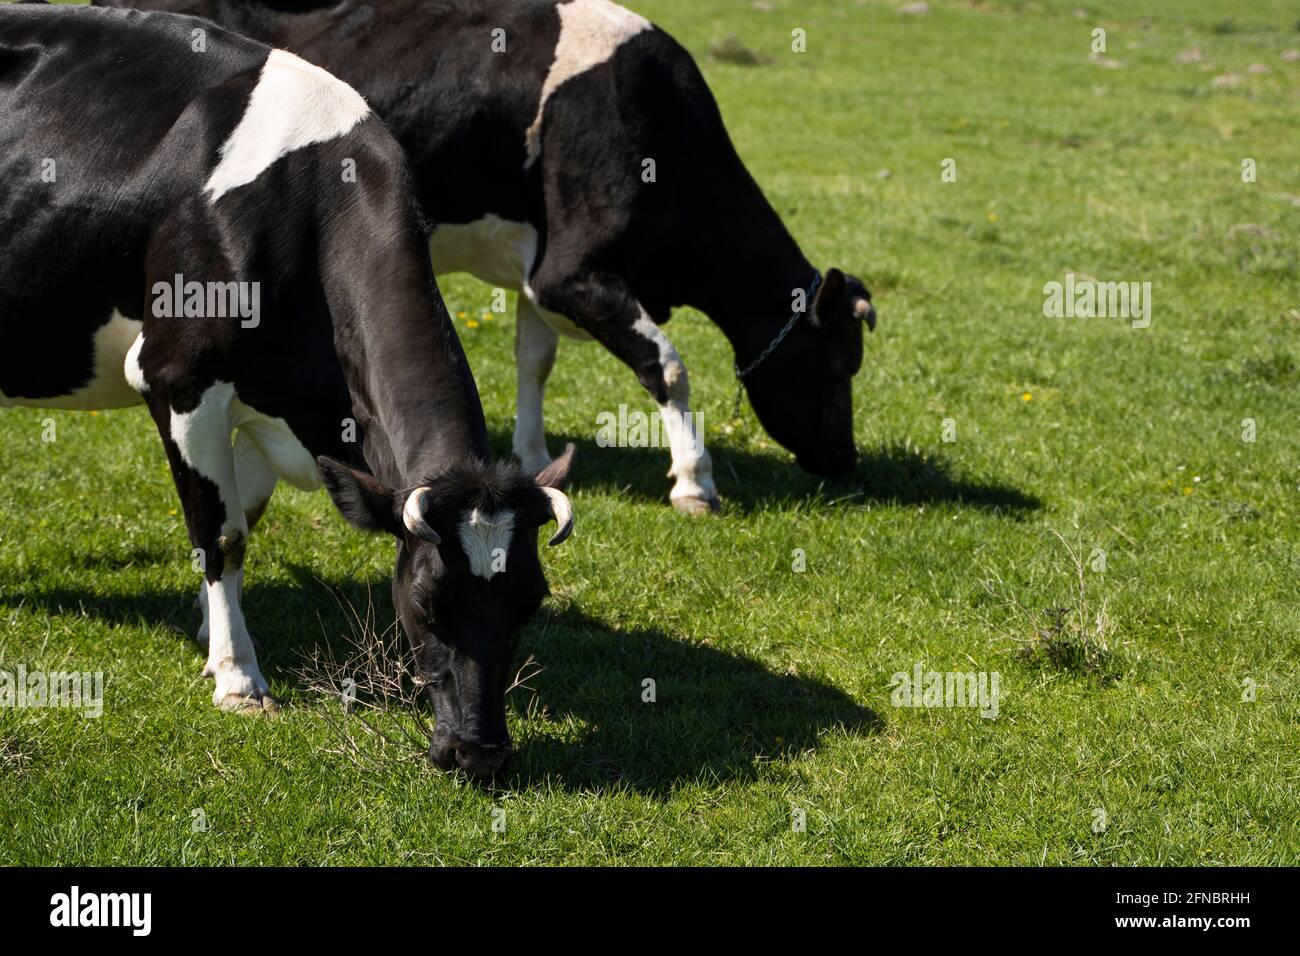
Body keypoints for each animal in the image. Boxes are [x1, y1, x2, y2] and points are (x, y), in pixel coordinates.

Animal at [0, 3, 577, 781]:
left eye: (531, 602)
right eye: (427, 601)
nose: (478, 753)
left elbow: (242, 514)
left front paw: (212, 630)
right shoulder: (178, 377)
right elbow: (222, 532)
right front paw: (238, 676)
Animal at [94, 0, 879, 516]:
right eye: (841, 365)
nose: (845, 461)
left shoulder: (539, 274)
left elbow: (535, 360)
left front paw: (532, 458)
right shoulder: (573, 271)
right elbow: (667, 364)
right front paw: (694, 481)